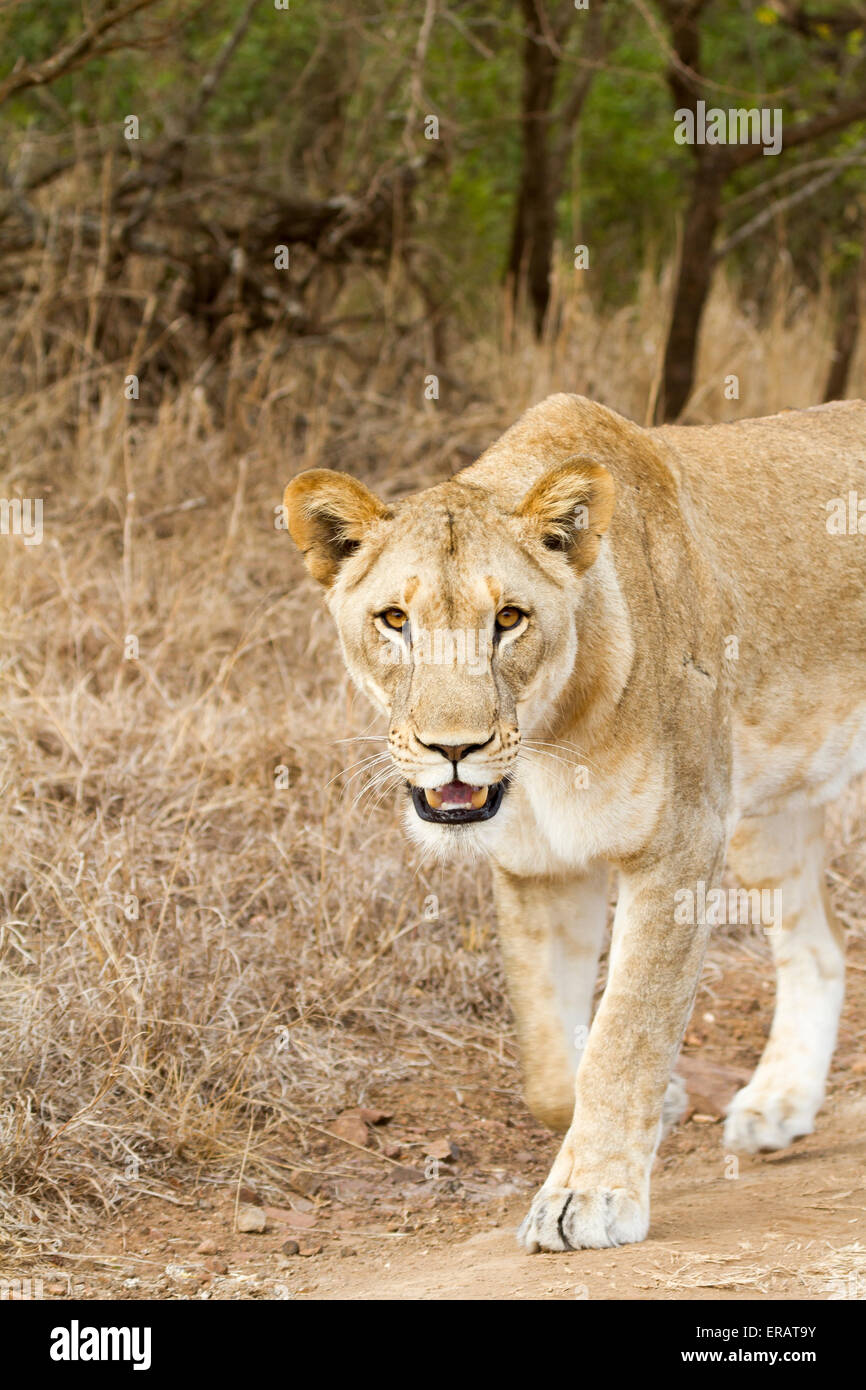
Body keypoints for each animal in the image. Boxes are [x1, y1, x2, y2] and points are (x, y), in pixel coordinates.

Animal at [283, 392, 866, 1252]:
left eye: (509, 618)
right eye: (394, 619)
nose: (453, 749)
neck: (548, 743)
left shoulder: (678, 845)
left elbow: (627, 1032)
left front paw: (588, 1197)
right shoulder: (540, 868)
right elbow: (552, 1064)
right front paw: (654, 1109)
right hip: (769, 813)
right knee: (819, 945)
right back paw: (779, 1106)